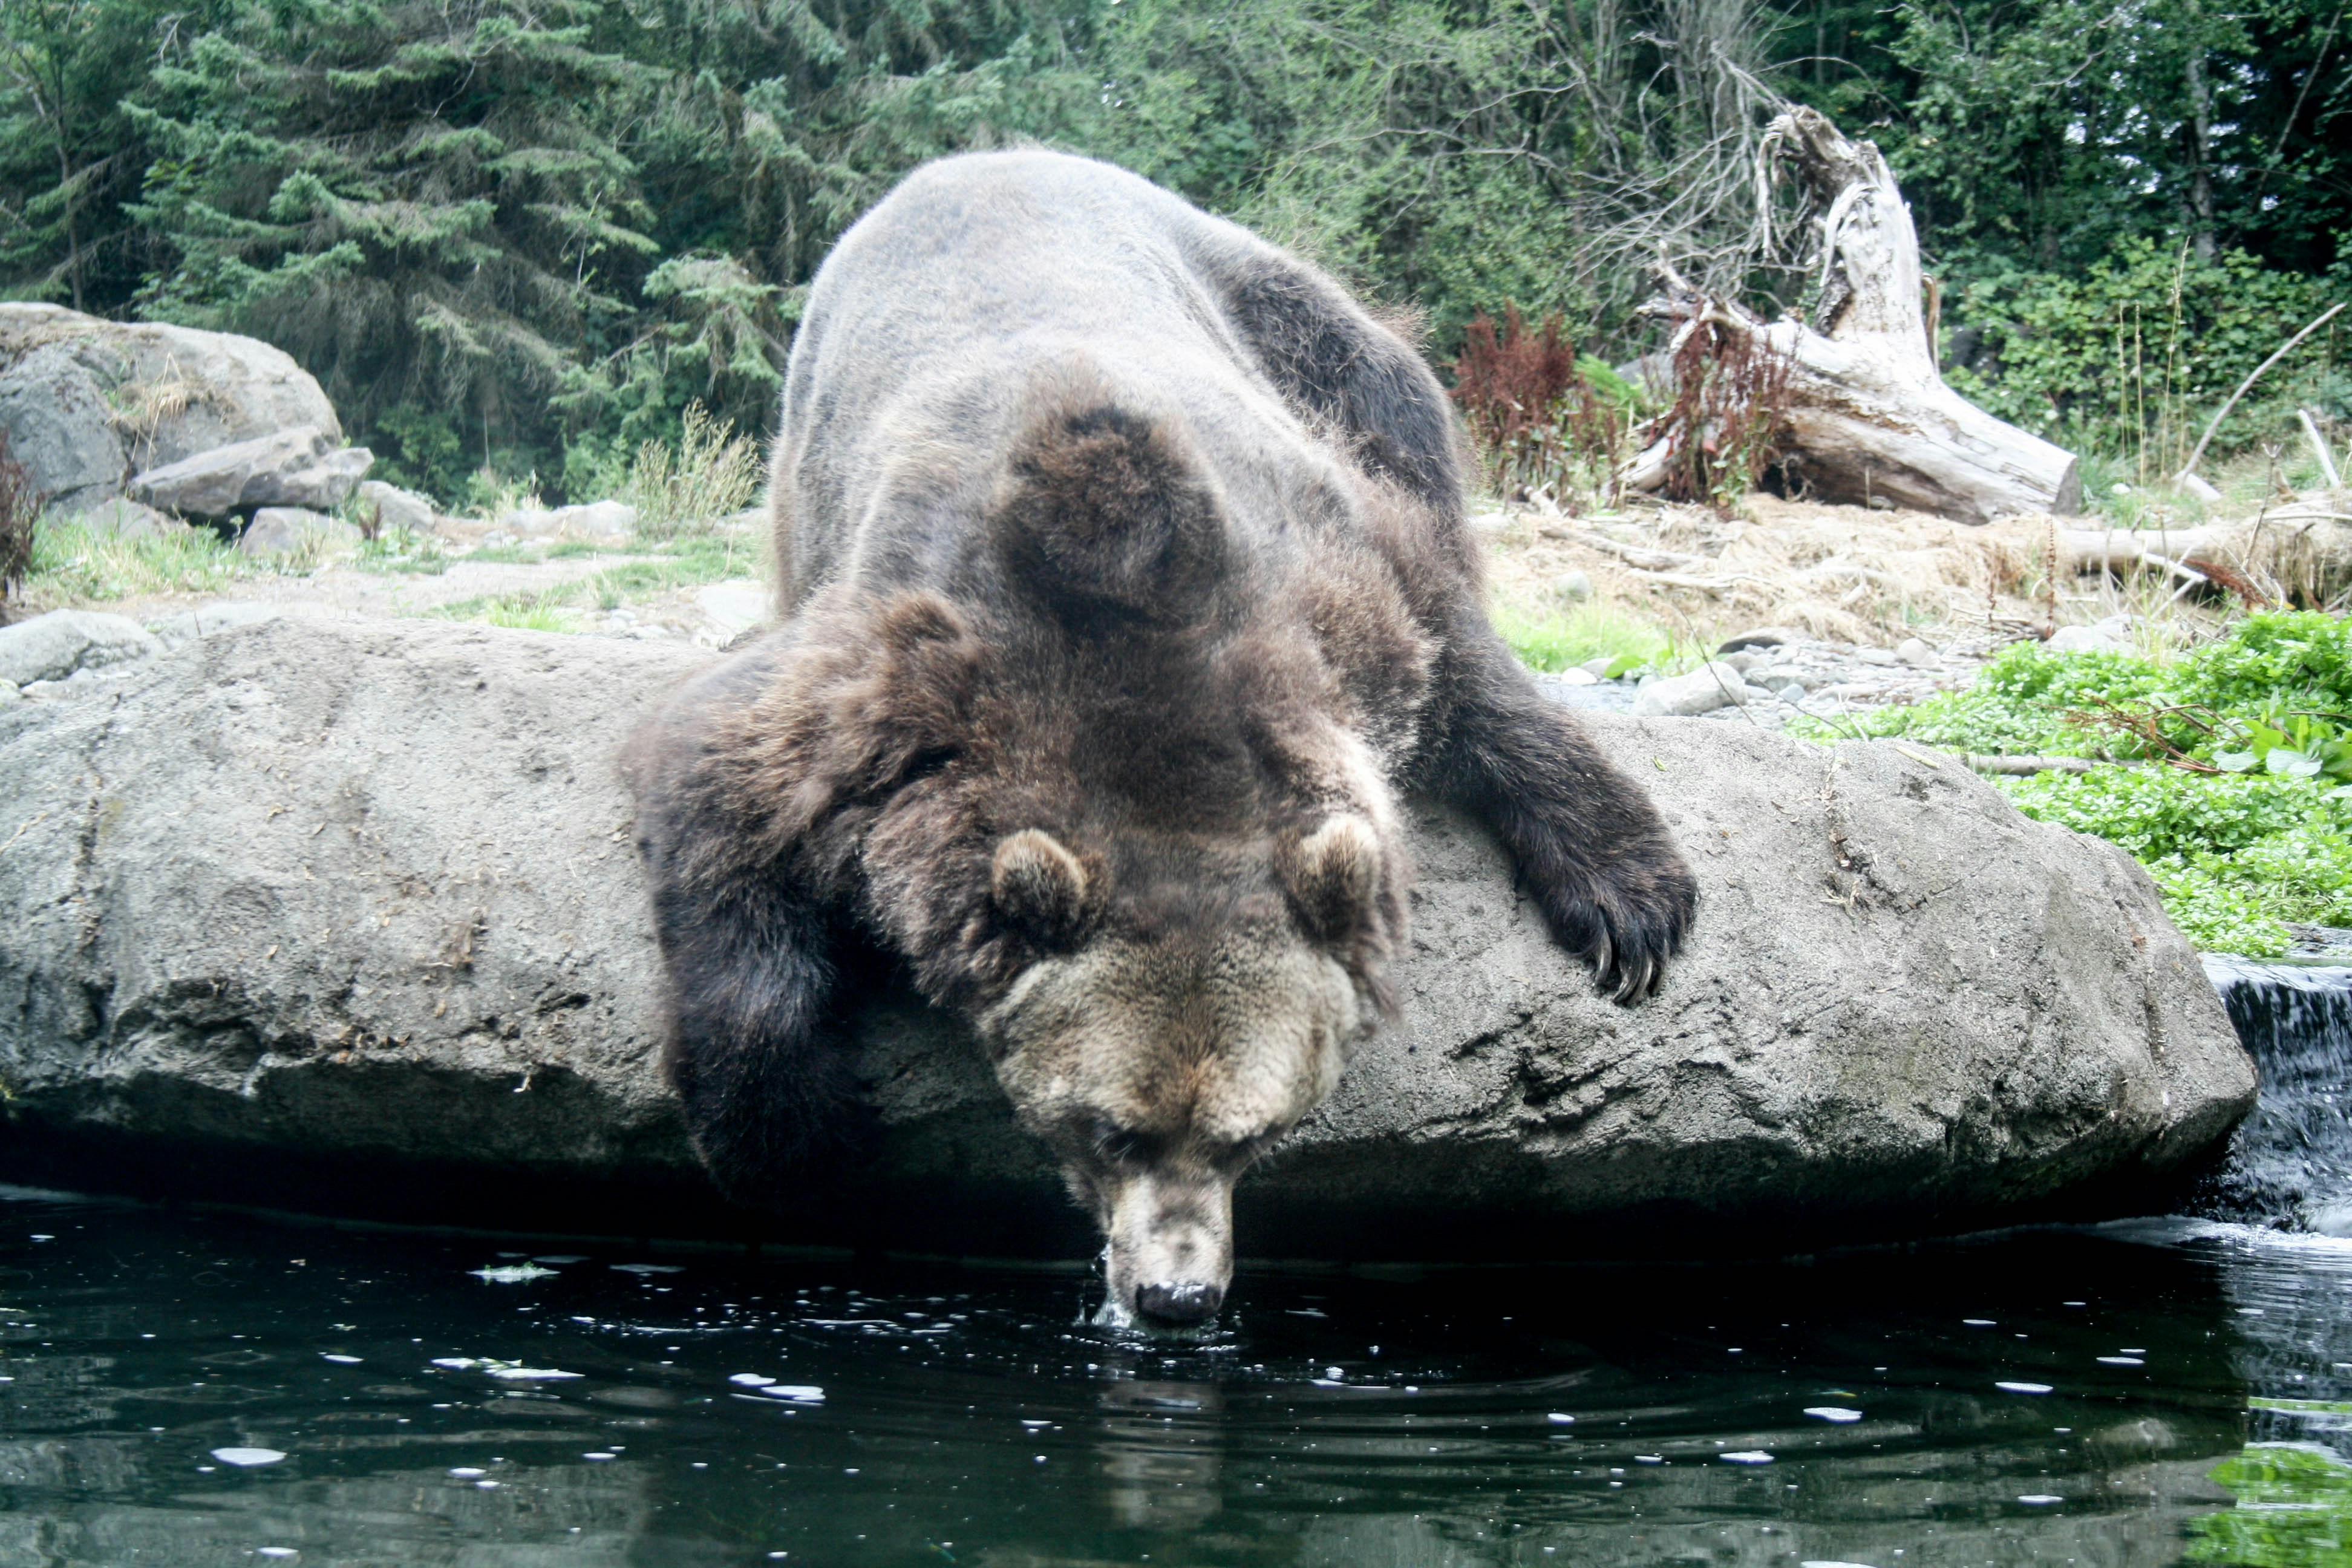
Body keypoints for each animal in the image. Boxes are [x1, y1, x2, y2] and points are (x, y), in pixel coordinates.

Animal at [625, 150, 1696, 1328]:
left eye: (1252, 1135)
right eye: (1109, 1130)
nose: (1175, 1295)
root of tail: (984, 156)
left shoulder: (1324, 591)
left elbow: (1465, 663)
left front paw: (1630, 903)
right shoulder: (892, 693)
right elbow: (724, 786)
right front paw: (792, 1136)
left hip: (1272, 304)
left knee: (1397, 398)